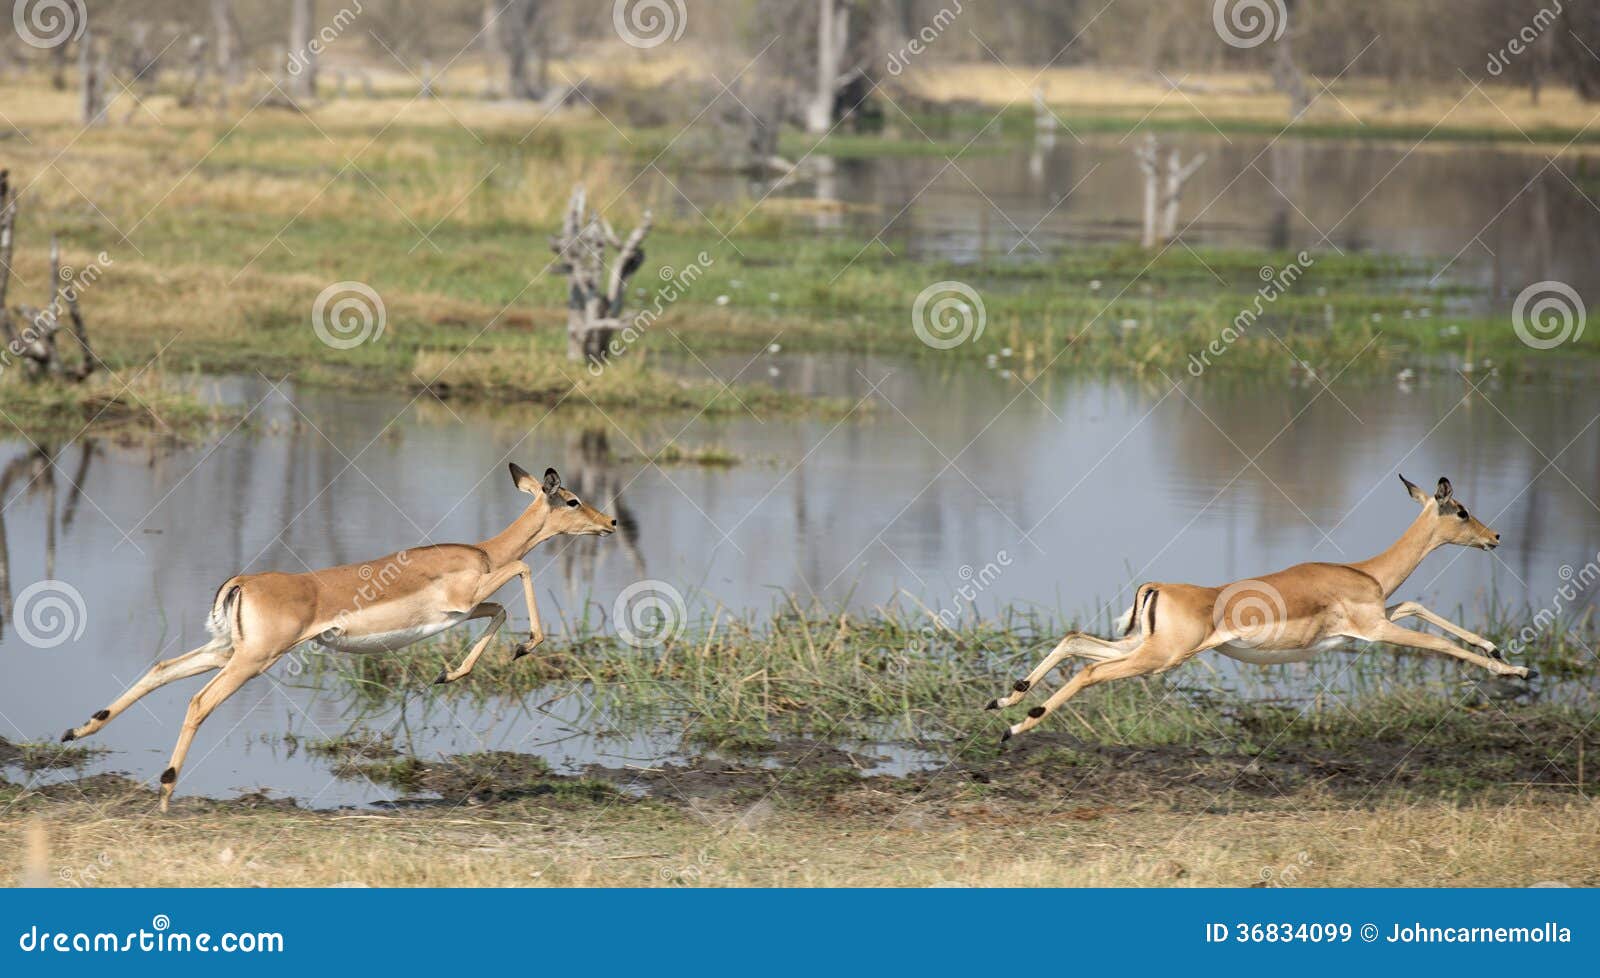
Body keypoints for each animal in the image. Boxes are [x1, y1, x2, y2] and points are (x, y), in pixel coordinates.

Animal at [61, 464, 617, 811]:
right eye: (572, 499)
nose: (610, 521)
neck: (483, 551)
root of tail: (243, 581)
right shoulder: (469, 596)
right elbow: (521, 571)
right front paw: (523, 646)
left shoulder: (463, 610)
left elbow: (500, 611)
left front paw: (451, 673)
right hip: (252, 660)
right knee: (199, 700)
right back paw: (164, 793)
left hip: (225, 650)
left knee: (159, 670)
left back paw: (77, 731)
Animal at [988, 475, 1533, 743]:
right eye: (1461, 510)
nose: (1495, 536)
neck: (1367, 572)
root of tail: (1156, 585)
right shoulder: (1375, 630)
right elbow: (1439, 643)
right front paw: (1516, 669)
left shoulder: (1377, 619)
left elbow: (1417, 605)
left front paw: (1499, 651)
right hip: (1160, 658)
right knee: (1088, 672)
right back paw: (1015, 727)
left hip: (1143, 646)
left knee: (1074, 641)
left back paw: (1006, 701)